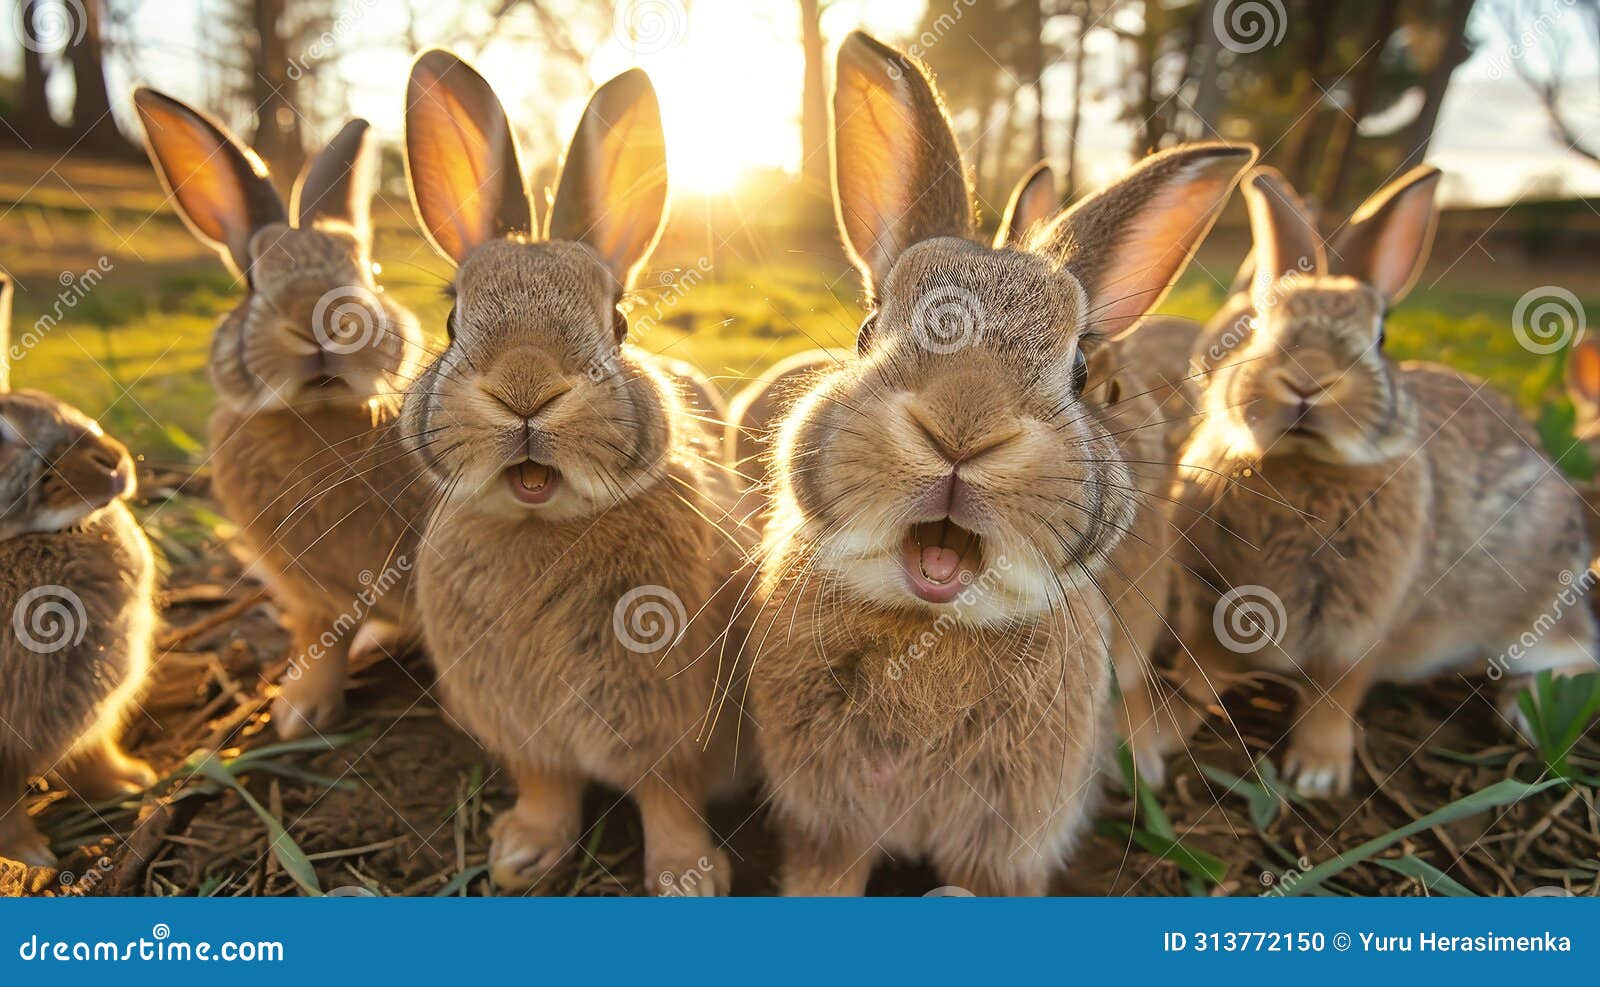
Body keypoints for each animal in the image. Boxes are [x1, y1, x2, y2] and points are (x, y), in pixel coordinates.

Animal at [133, 91, 431, 739]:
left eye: (369, 271)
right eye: (249, 281)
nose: (317, 317)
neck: (319, 418)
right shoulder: (308, 593)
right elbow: (319, 639)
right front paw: (300, 715)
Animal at [399, 50, 750, 896]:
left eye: (618, 322)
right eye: (451, 319)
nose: (526, 387)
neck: (542, 525)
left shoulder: (673, 724)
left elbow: (669, 793)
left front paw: (687, 877)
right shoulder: (528, 732)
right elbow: (548, 785)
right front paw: (523, 854)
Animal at [746, 30, 1255, 896]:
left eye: (1079, 371)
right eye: (867, 331)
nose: (963, 427)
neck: (928, 628)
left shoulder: (1006, 843)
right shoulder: (827, 820)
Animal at [1158, 165, 1599, 798]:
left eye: (1382, 336)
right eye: (1258, 326)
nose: (1309, 379)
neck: (1303, 468)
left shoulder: (1360, 626)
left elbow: (1334, 696)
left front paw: (1317, 774)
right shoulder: (1206, 607)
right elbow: (1197, 675)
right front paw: (1151, 733)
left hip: (1538, 609)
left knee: (1582, 654)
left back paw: (1522, 706)